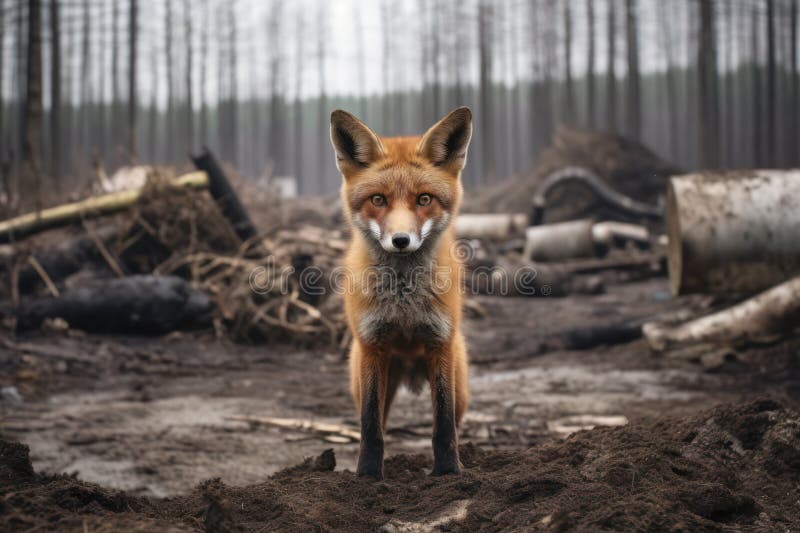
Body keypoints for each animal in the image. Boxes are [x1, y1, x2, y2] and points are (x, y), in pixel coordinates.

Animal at [329, 107, 473, 480]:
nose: (401, 240)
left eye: (424, 199)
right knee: (377, 420)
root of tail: (409, 368)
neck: (404, 301)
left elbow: (443, 424)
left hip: (461, 385)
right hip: (367, 376)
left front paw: (449, 473)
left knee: (455, 420)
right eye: (378, 199)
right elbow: (370, 426)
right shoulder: (371, 345)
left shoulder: (440, 343)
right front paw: (368, 476)